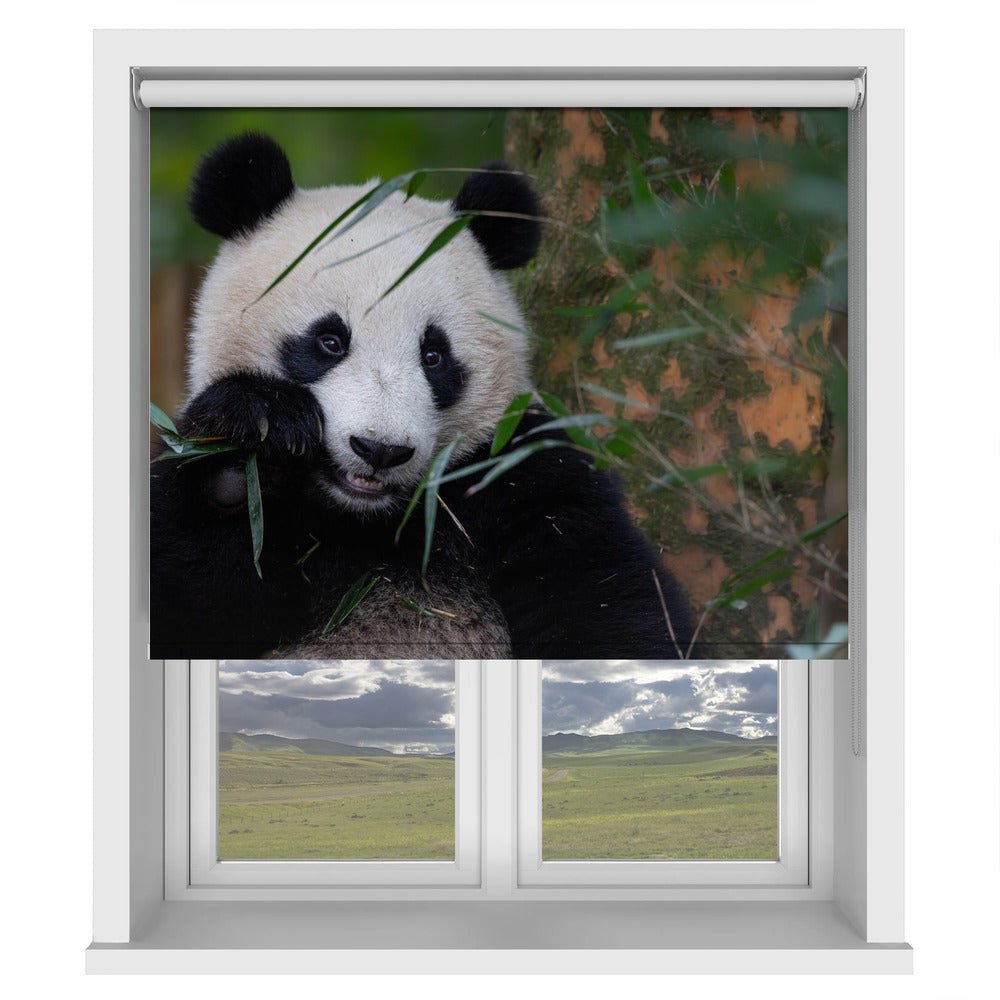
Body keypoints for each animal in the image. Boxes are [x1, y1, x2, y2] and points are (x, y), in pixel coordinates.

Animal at [150, 132, 694, 661]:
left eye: (434, 355)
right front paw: (251, 442)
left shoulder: (518, 471)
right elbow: (187, 599)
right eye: (329, 341)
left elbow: (606, 601)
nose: (380, 450)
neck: (367, 516)